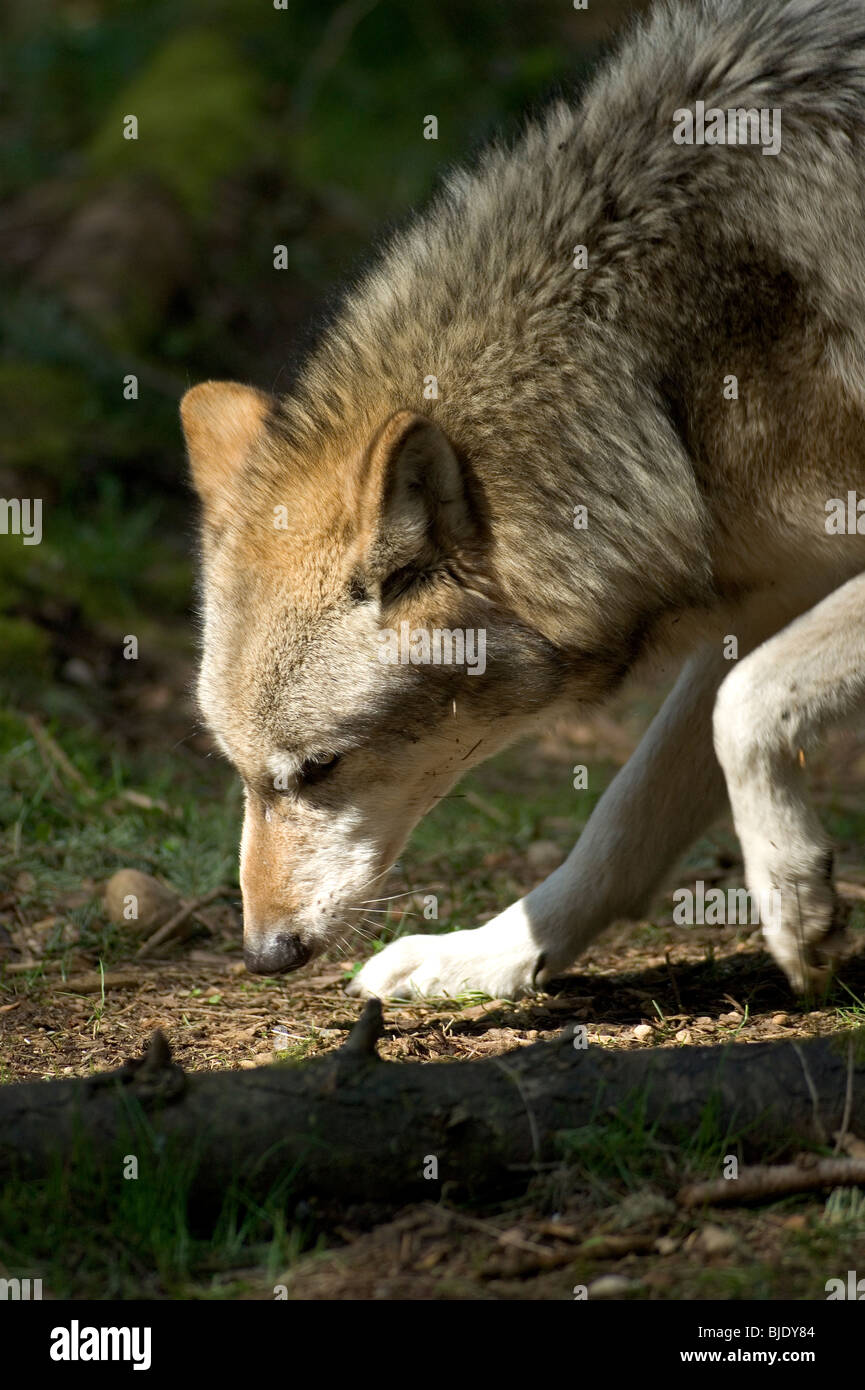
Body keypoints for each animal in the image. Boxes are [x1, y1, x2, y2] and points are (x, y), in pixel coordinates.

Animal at [181, 0, 865, 1002]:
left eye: (318, 769)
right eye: (241, 776)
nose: (262, 955)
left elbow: (742, 704)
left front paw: (791, 897)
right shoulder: (774, 578)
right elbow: (633, 804)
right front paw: (492, 955)